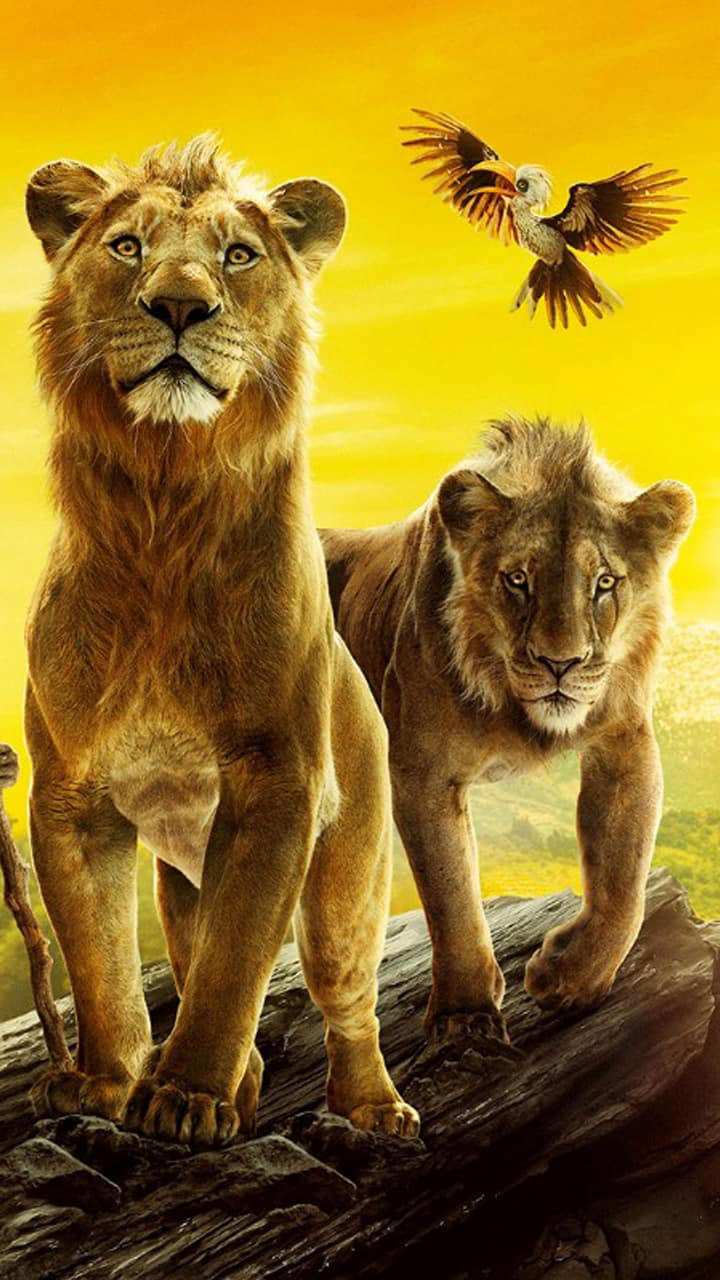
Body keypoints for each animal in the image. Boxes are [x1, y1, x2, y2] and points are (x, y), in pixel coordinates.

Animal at [23, 135, 418, 1146]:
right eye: (126, 246)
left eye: (238, 256)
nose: (178, 305)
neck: (166, 511)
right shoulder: (71, 793)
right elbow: (101, 961)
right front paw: (107, 1082)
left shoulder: (278, 782)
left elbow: (239, 962)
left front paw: (189, 1098)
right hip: (182, 879)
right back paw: (237, 1091)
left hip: (346, 879)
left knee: (345, 998)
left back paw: (370, 1109)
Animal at [322, 418, 695, 1044]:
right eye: (518, 580)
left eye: (604, 582)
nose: (559, 664)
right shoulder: (422, 772)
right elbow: (451, 895)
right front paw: (465, 1017)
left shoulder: (625, 740)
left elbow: (625, 881)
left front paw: (571, 979)